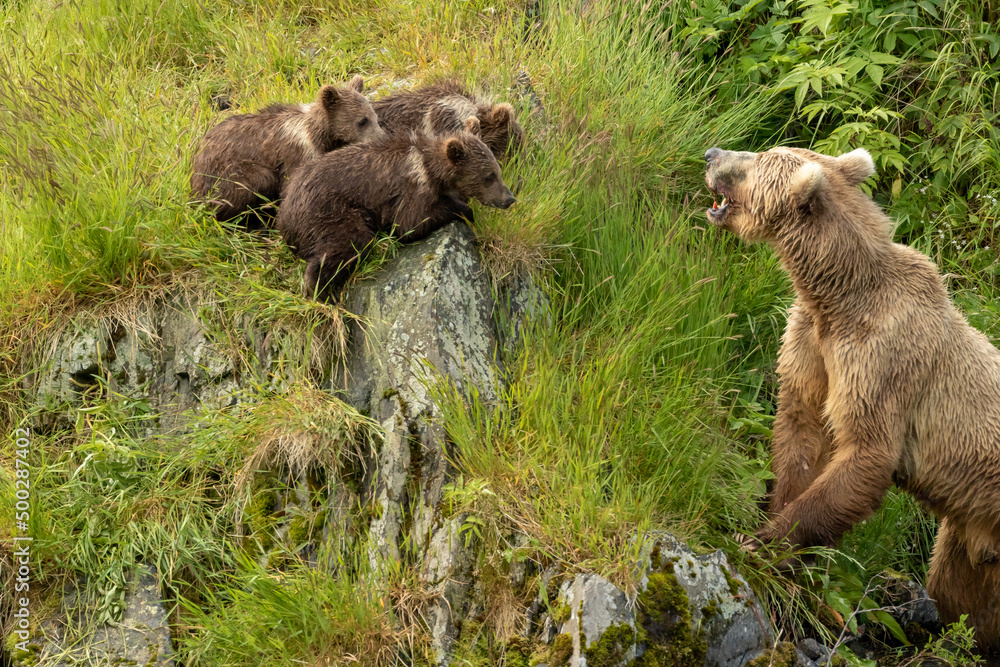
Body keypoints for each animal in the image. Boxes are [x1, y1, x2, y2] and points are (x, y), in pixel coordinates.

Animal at [190, 76, 384, 228]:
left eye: (375, 117)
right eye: (362, 121)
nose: (382, 137)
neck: (318, 135)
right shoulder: (294, 155)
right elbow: (289, 184)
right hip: (227, 173)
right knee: (256, 180)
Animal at [276, 120, 515, 301]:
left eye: (498, 169)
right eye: (489, 176)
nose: (509, 198)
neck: (430, 170)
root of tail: (284, 213)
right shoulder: (409, 189)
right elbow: (411, 223)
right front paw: (465, 211)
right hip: (329, 210)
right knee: (350, 242)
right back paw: (320, 289)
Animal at [703, 145, 1000, 657]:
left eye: (753, 161)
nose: (710, 153)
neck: (838, 296)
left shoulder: (880, 359)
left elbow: (866, 452)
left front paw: (761, 543)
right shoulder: (812, 345)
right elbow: (800, 430)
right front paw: (773, 521)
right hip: (971, 535)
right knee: (958, 592)